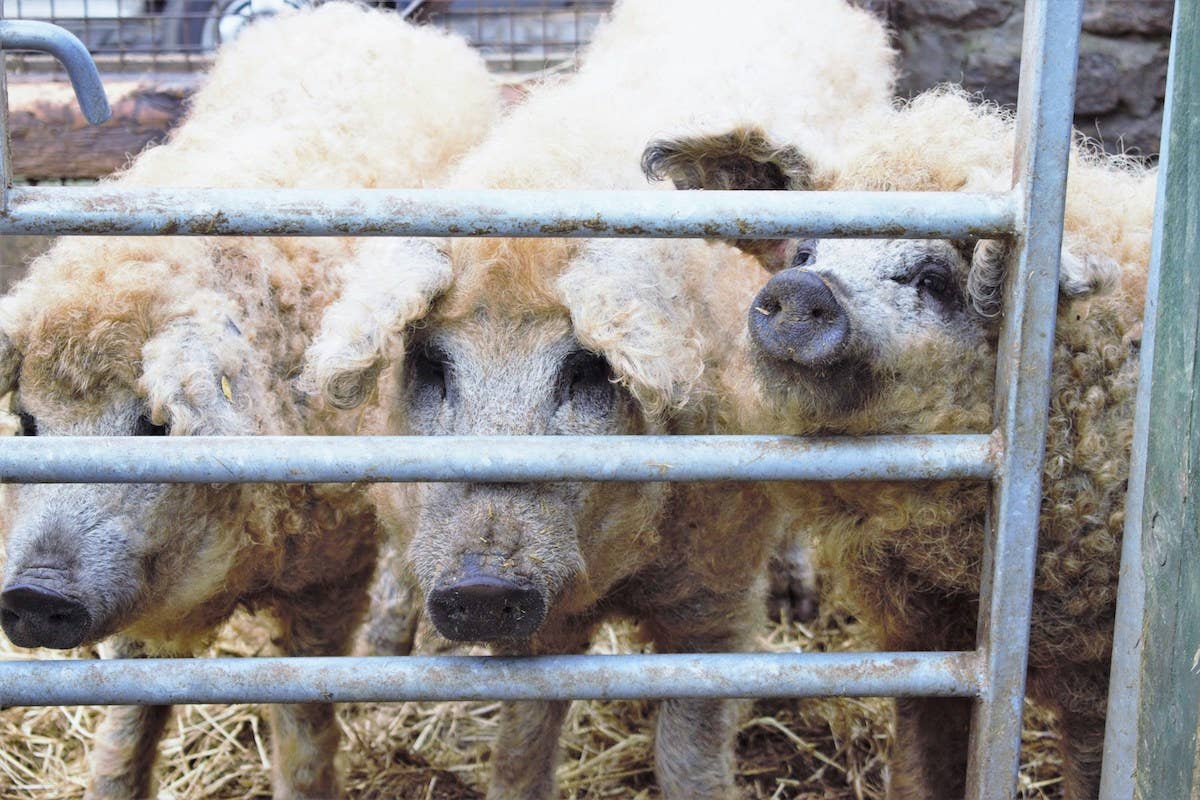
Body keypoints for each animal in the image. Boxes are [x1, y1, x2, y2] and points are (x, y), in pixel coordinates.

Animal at [0, 5, 499, 798]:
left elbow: (300, 712)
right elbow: (129, 713)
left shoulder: (332, 571)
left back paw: (386, 648)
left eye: (154, 427)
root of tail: (368, 19)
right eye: (27, 422)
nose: (34, 595)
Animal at [640, 88, 1156, 799]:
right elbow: (921, 761)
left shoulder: (1098, 679)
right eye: (805, 253)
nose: (799, 288)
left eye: (934, 280)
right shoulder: (927, 644)